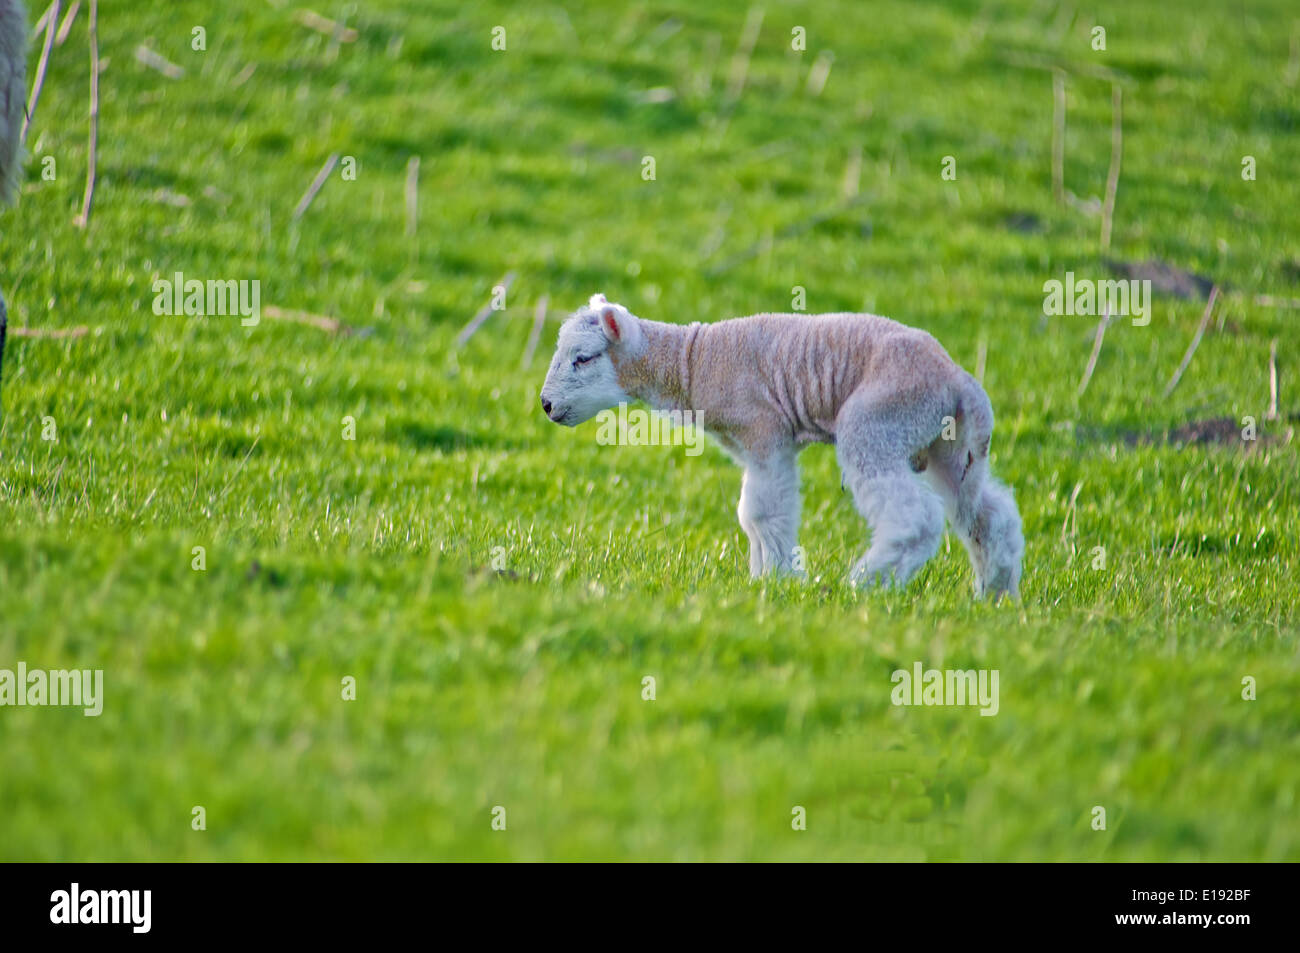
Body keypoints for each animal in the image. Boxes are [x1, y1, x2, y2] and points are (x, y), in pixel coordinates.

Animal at [539, 295, 1024, 599]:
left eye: (582, 358)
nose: (546, 405)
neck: (692, 362)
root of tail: (959, 382)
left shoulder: (764, 432)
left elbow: (760, 513)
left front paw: (776, 580)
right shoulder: (756, 445)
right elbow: (752, 516)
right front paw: (761, 580)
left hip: (880, 420)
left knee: (915, 517)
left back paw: (866, 583)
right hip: (950, 445)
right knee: (989, 513)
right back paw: (995, 594)